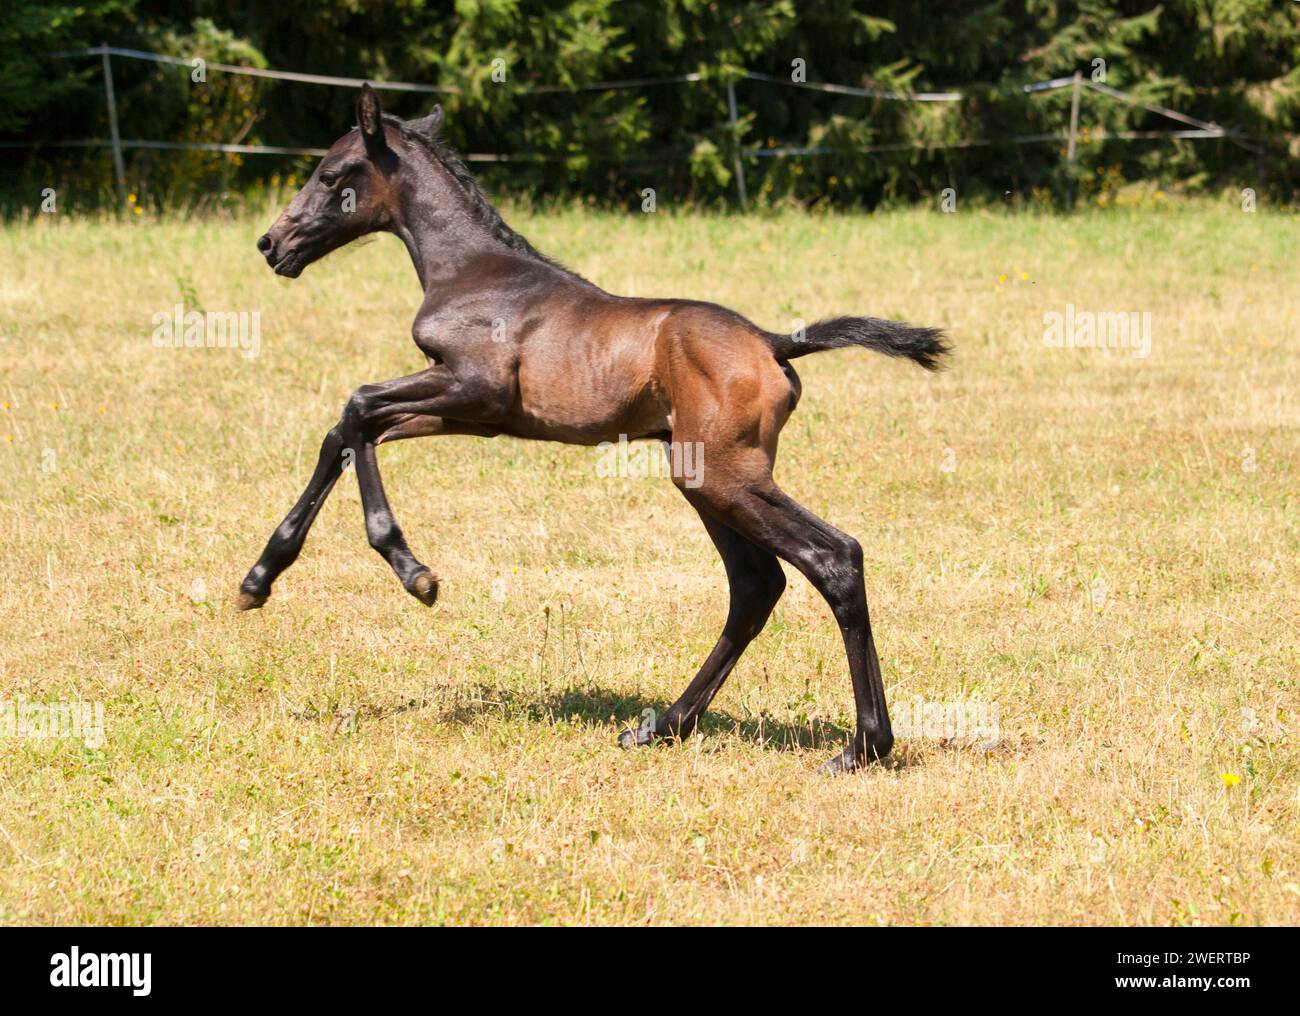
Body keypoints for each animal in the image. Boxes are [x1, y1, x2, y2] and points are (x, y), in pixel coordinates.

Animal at [239, 85, 950, 773]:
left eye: (331, 174)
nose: (272, 245)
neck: (471, 272)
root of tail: (773, 344)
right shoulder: (474, 411)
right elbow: (348, 430)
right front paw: (260, 578)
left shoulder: (476, 386)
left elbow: (356, 405)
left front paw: (413, 572)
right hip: (704, 478)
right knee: (755, 585)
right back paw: (663, 727)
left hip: (726, 478)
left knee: (833, 558)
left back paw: (861, 747)